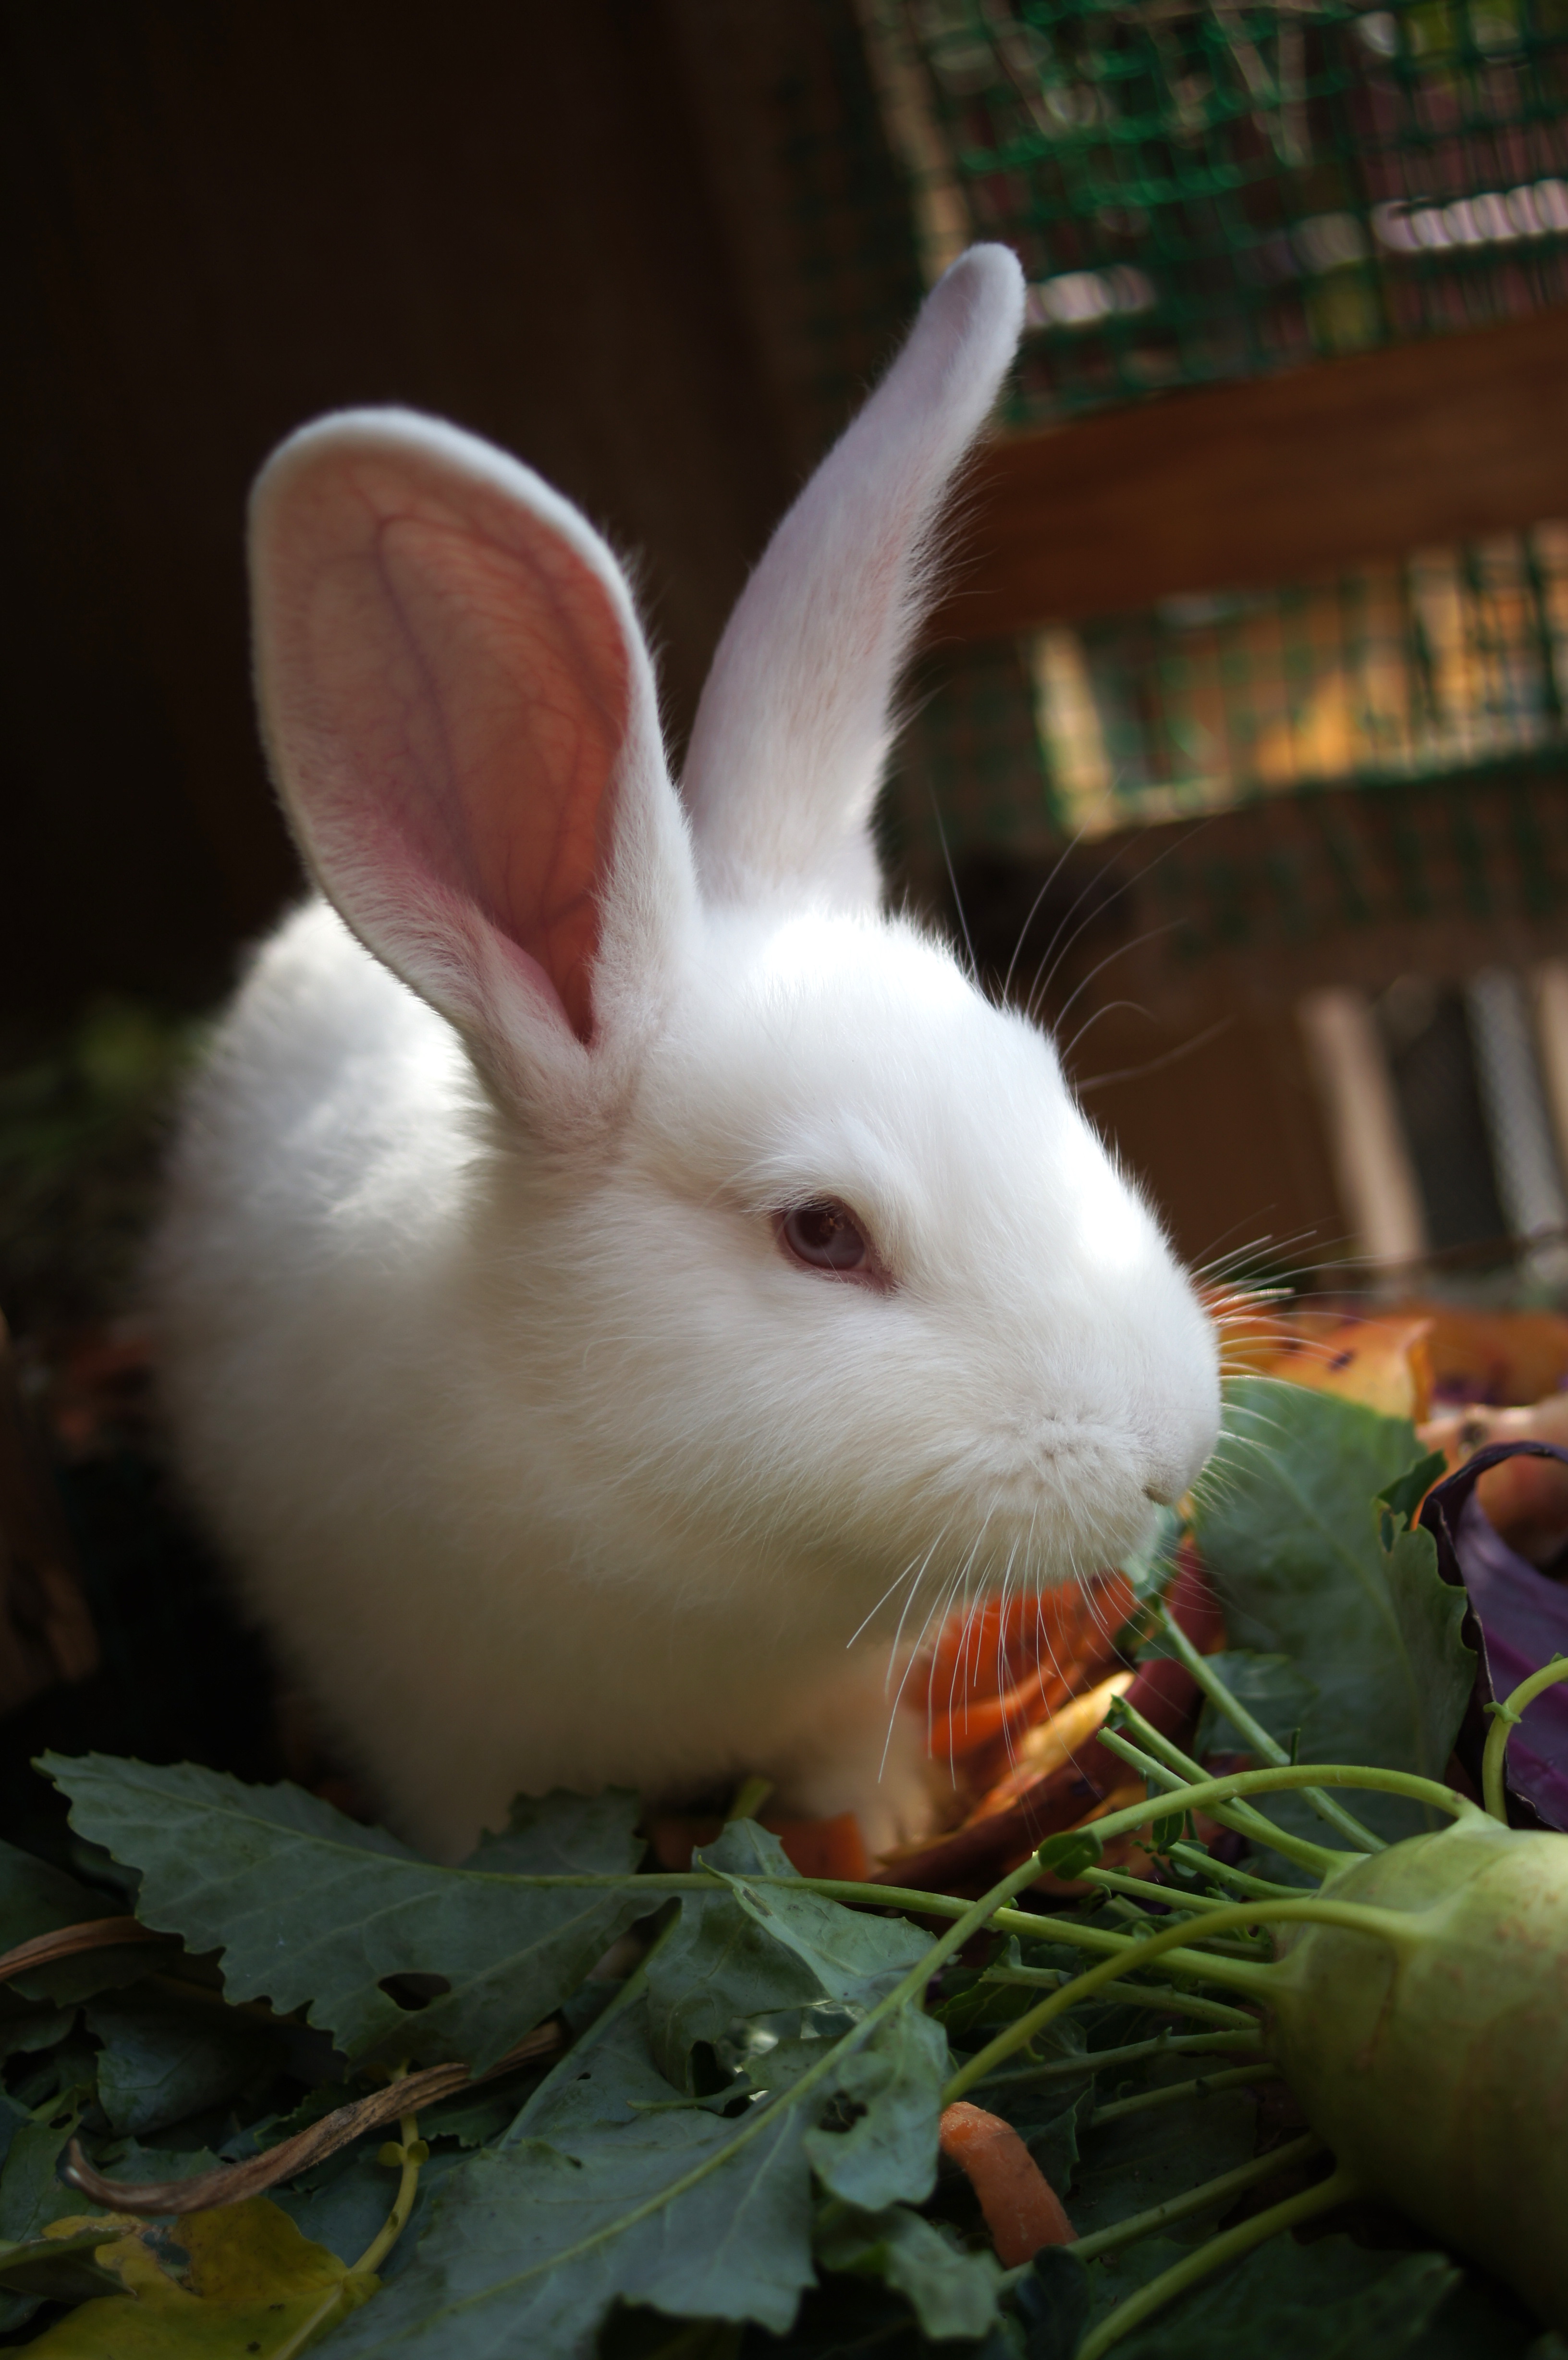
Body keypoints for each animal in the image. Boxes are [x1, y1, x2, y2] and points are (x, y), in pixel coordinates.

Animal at [150, 245, 1221, 1864]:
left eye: (1050, 1087)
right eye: (820, 1232)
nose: (1173, 1445)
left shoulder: (835, 1705)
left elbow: (845, 1779)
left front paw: (889, 1835)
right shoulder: (435, 1739)